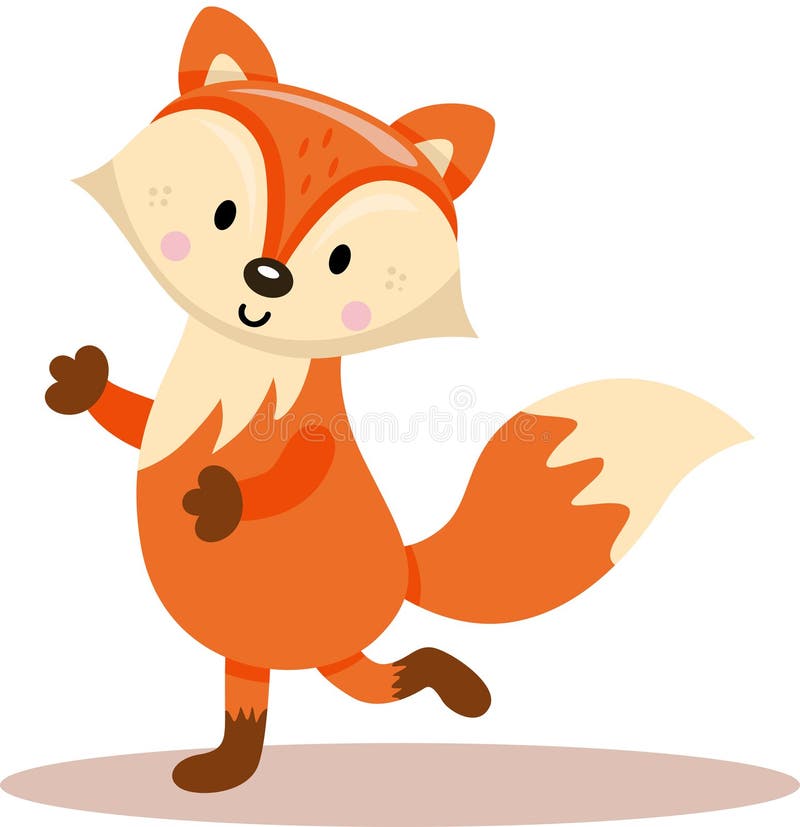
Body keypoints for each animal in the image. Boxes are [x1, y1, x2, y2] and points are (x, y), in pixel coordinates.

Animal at [46, 7, 750, 793]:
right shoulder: (164, 418)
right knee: (266, 693)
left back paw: (461, 689)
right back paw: (229, 767)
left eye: (342, 259)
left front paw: (222, 498)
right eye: (223, 212)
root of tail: (405, 568)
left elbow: (297, 473)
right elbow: (133, 418)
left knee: (388, 678)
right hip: (256, 645)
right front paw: (80, 384)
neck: (243, 362)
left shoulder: (307, 435)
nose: (266, 276)